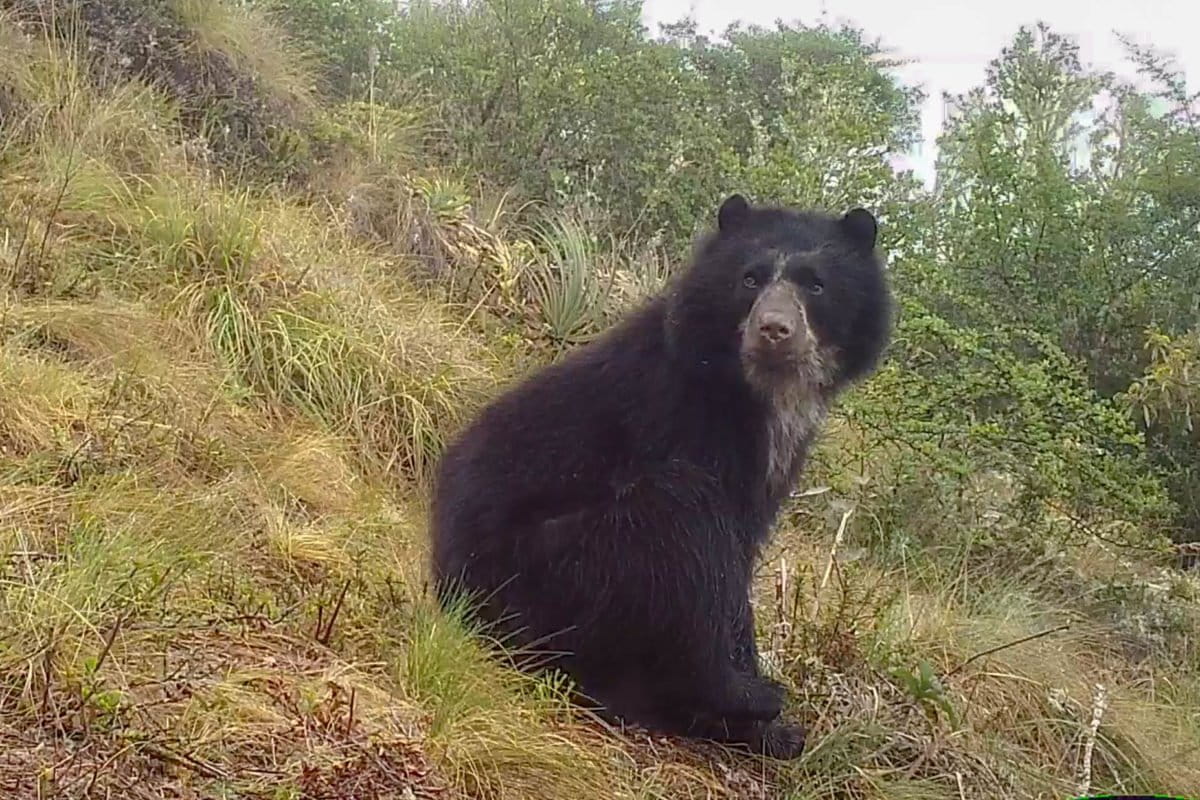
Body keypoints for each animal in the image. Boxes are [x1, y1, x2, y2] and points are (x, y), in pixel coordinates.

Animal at [428, 193, 893, 760]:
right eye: (751, 279)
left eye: (817, 285)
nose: (774, 330)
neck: (758, 392)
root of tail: (448, 587)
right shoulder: (682, 416)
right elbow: (722, 562)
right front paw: (756, 703)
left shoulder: (775, 464)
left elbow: (745, 546)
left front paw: (771, 727)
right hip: (559, 566)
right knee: (682, 515)